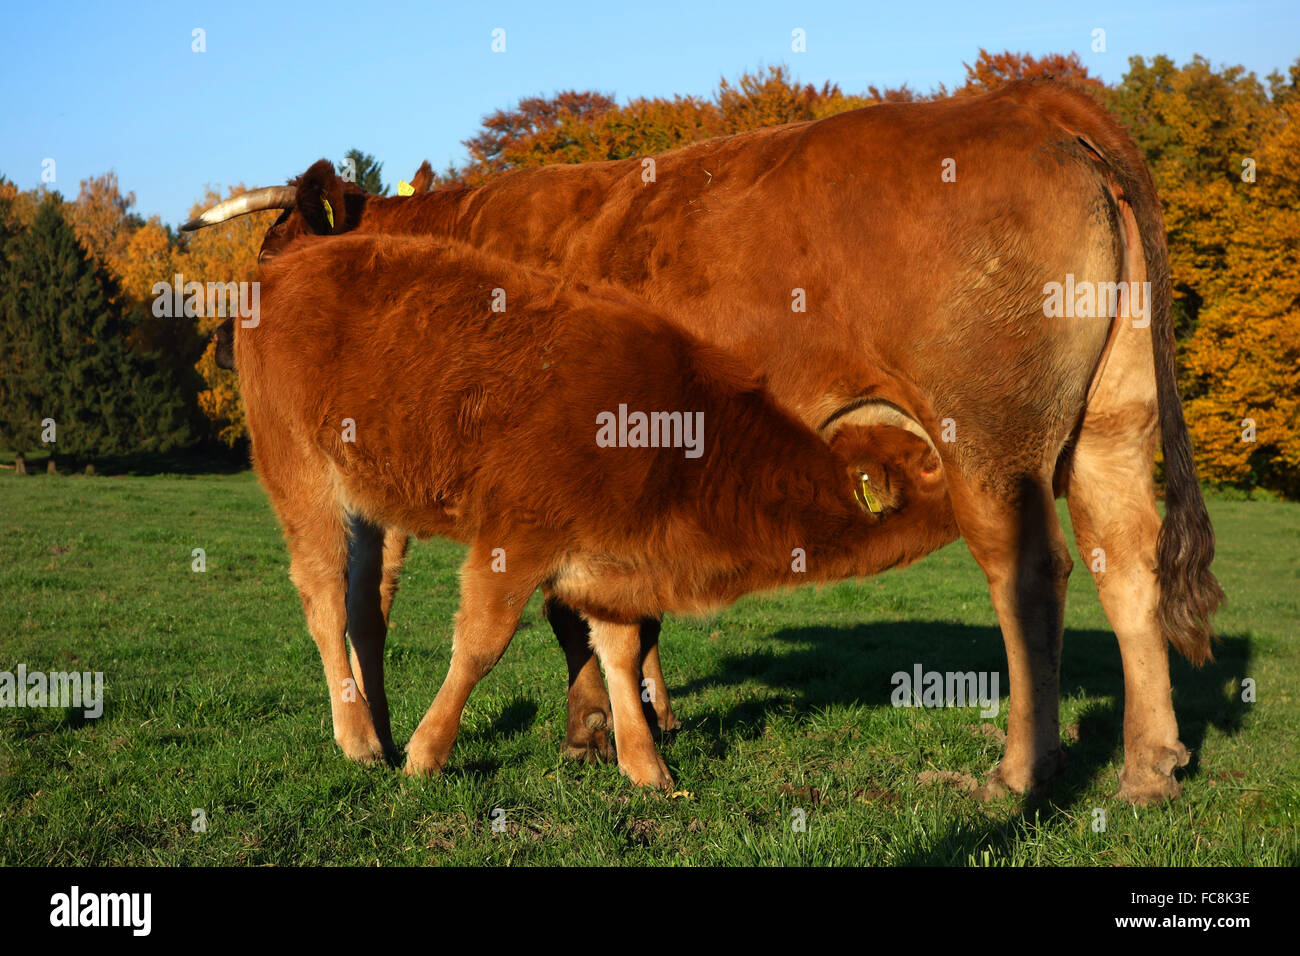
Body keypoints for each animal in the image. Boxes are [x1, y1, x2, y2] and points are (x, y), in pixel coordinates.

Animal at [240, 232, 957, 786]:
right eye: (929, 466)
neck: (678, 436)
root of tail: (284, 265)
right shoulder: (517, 539)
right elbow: (480, 645)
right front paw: (428, 753)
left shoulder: (613, 560)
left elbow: (620, 653)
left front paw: (645, 766)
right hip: (303, 479)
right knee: (325, 601)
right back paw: (361, 739)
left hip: (371, 506)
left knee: (367, 606)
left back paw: (379, 728)